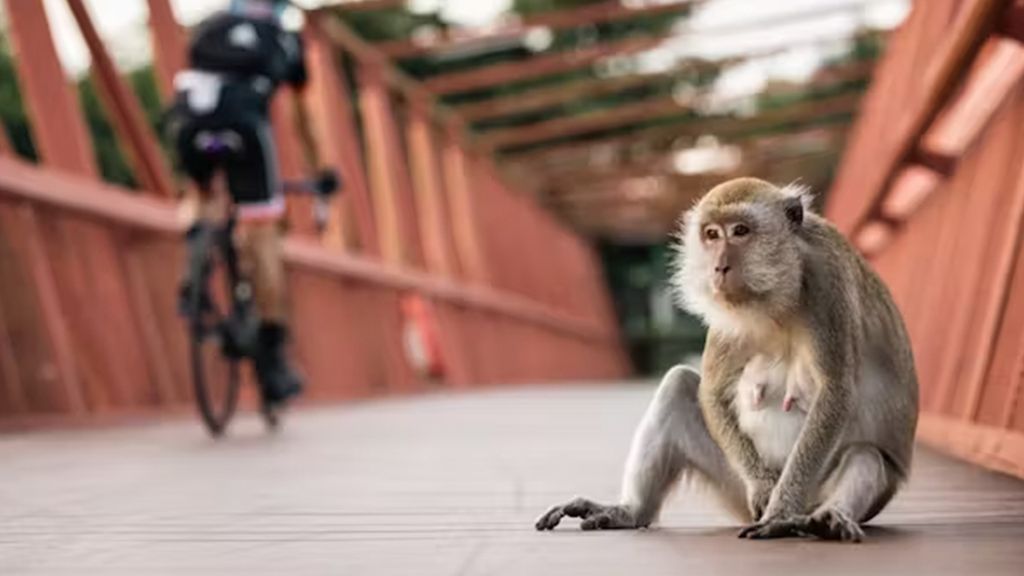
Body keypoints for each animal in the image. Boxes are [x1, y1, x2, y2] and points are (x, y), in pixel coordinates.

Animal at [535, 178, 918, 542]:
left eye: (740, 231)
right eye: (711, 234)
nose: (719, 267)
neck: (780, 290)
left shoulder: (829, 281)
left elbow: (835, 390)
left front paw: (781, 511)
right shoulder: (725, 311)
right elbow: (713, 392)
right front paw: (763, 487)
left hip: (829, 493)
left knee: (866, 456)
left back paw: (824, 520)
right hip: (736, 492)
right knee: (677, 385)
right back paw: (630, 512)